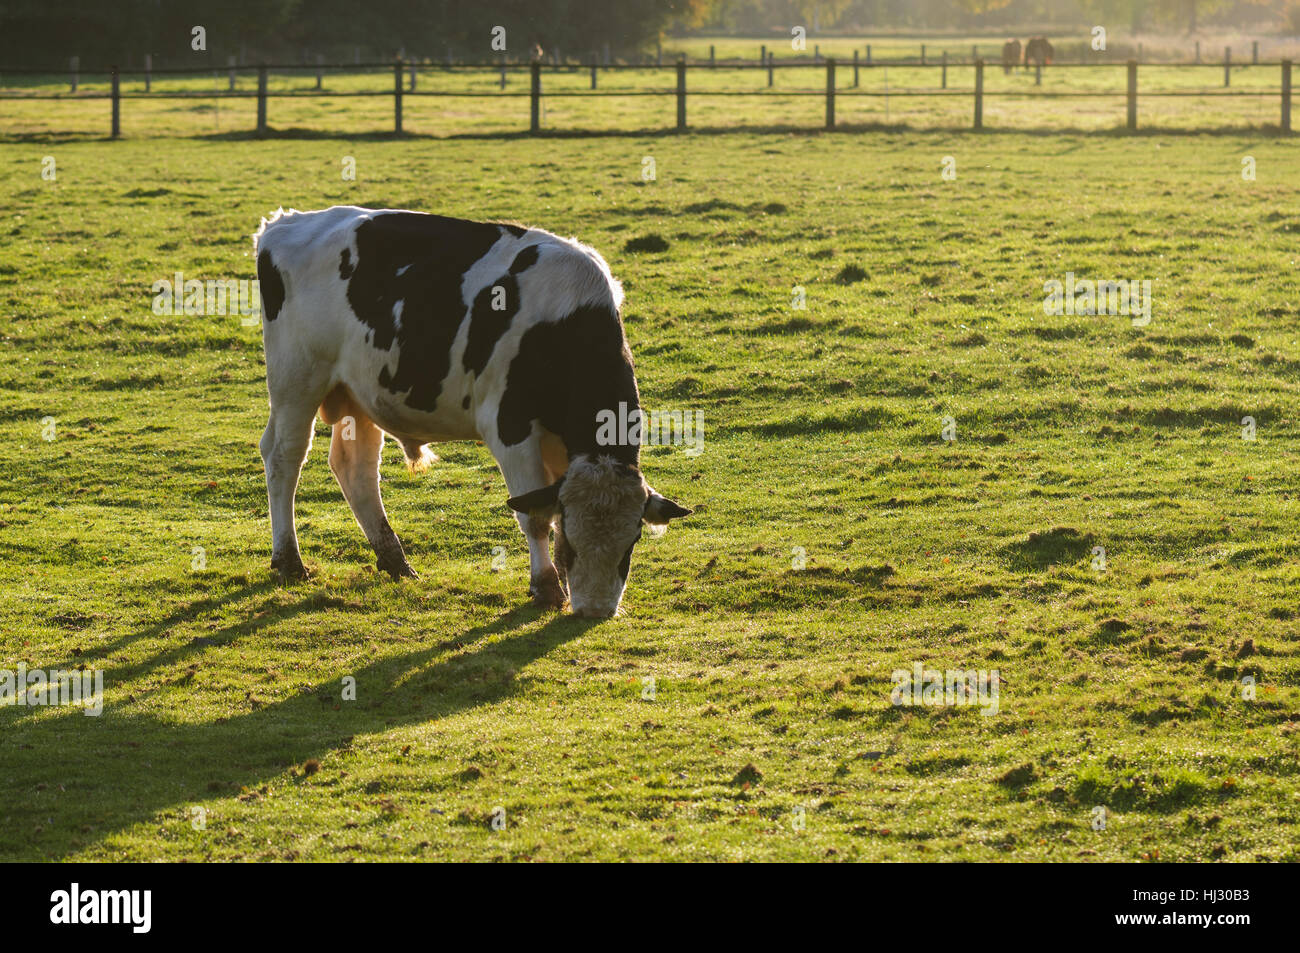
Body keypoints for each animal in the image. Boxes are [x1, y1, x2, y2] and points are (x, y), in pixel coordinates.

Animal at [252, 206, 691, 618]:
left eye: (631, 541)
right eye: (574, 538)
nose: (596, 610)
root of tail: (286, 222)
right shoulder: (509, 426)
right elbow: (535, 515)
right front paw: (547, 588)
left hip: (358, 392)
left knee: (355, 469)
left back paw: (395, 561)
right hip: (297, 380)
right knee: (284, 457)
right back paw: (289, 561)